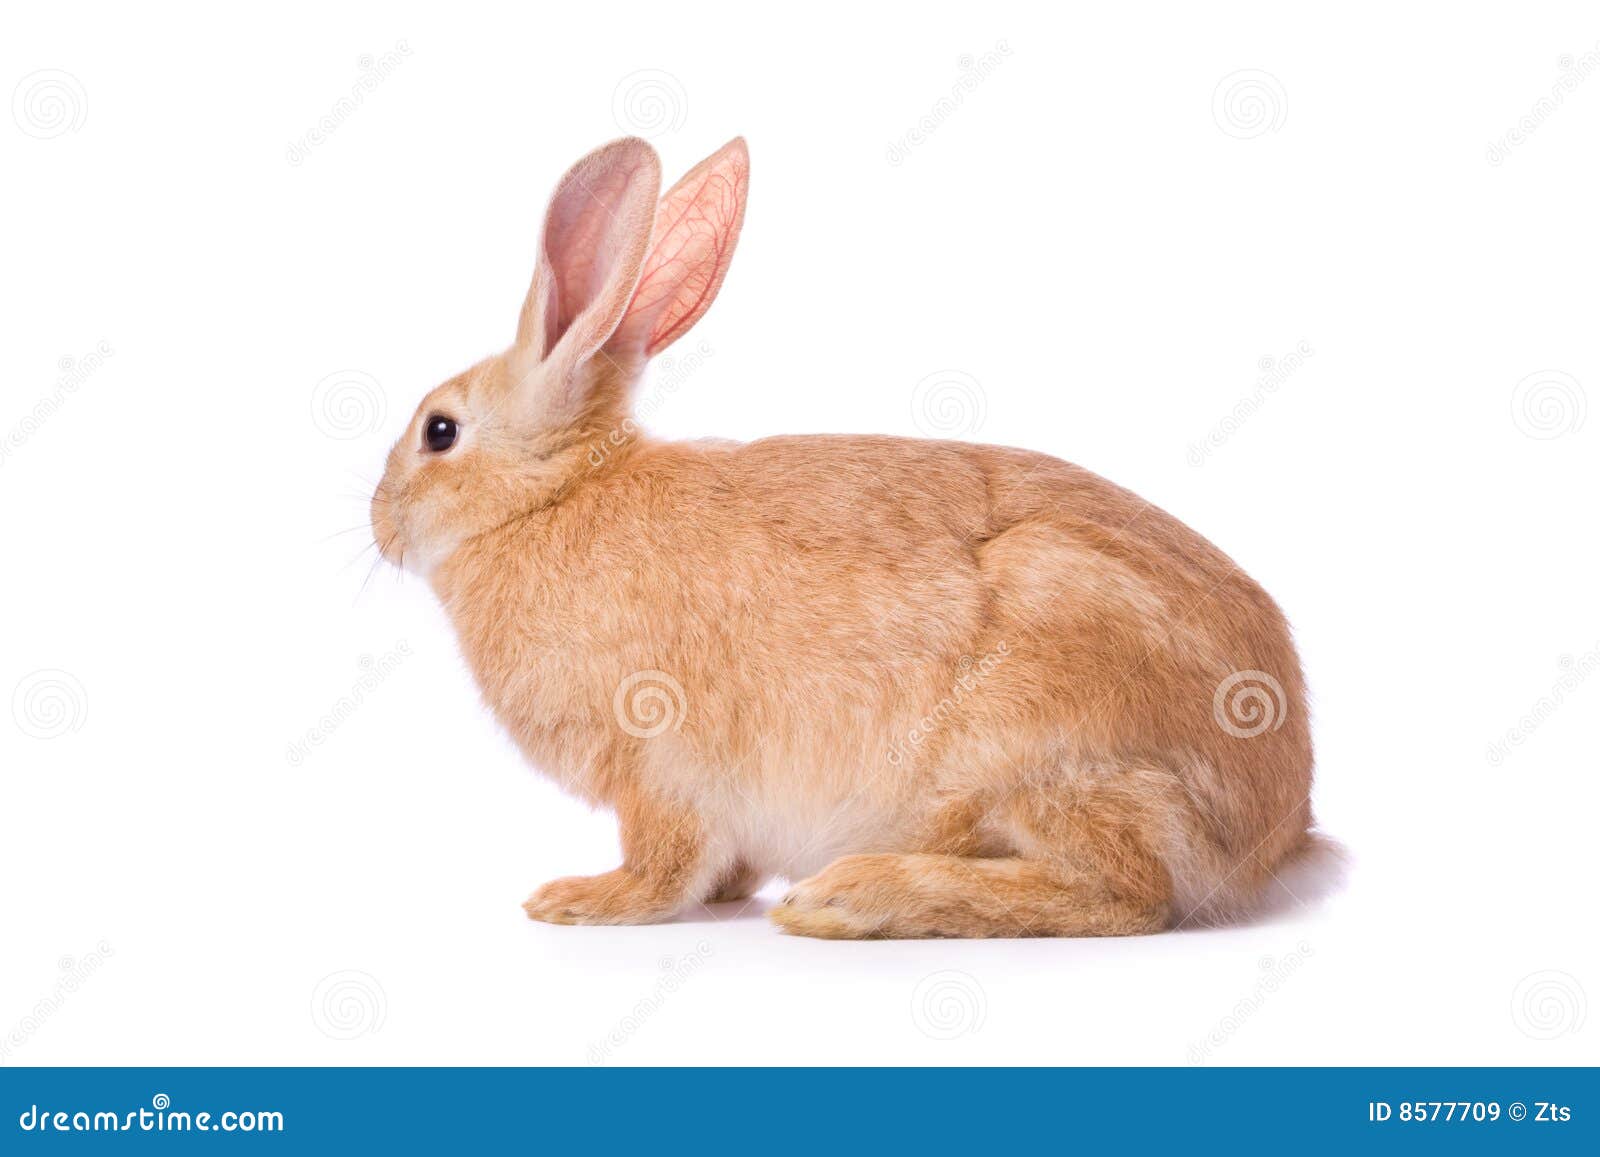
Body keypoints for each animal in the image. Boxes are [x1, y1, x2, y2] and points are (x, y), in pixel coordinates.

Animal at [370, 135, 1322, 938]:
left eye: (439, 432)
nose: (380, 526)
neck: (551, 499)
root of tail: (1279, 825)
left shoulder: (660, 765)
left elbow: (662, 864)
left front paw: (578, 900)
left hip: (1041, 746)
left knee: (1126, 893)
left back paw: (847, 898)